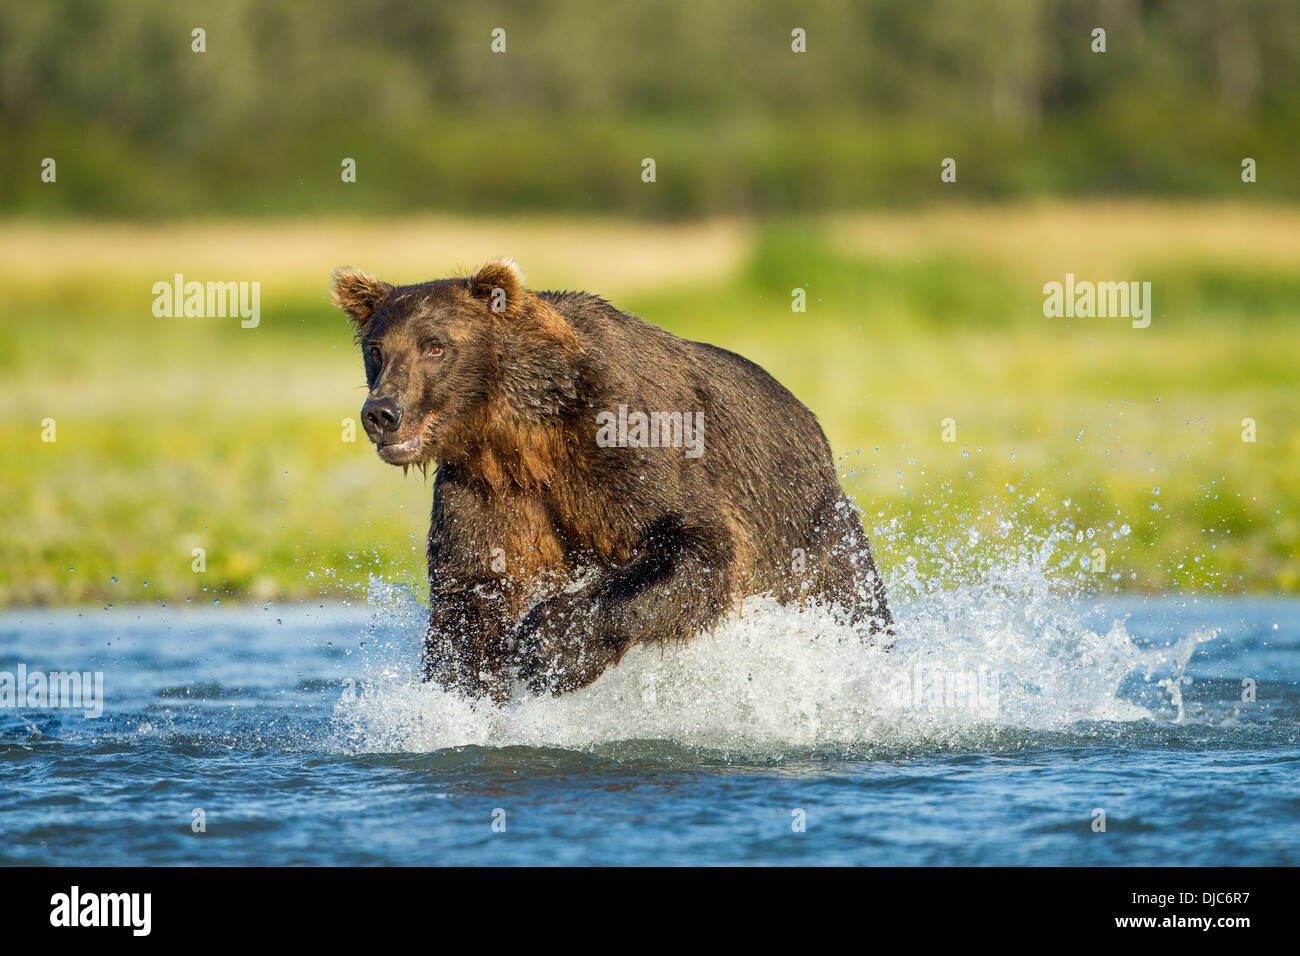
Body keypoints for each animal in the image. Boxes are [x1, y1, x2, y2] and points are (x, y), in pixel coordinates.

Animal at [332, 258, 891, 701]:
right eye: (377, 348)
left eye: (435, 347)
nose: (381, 412)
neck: (522, 431)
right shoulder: (488, 487)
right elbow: (472, 591)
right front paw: (464, 693)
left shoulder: (628, 443)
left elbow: (698, 545)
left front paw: (548, 650)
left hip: (813, 535)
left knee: (854, 607)